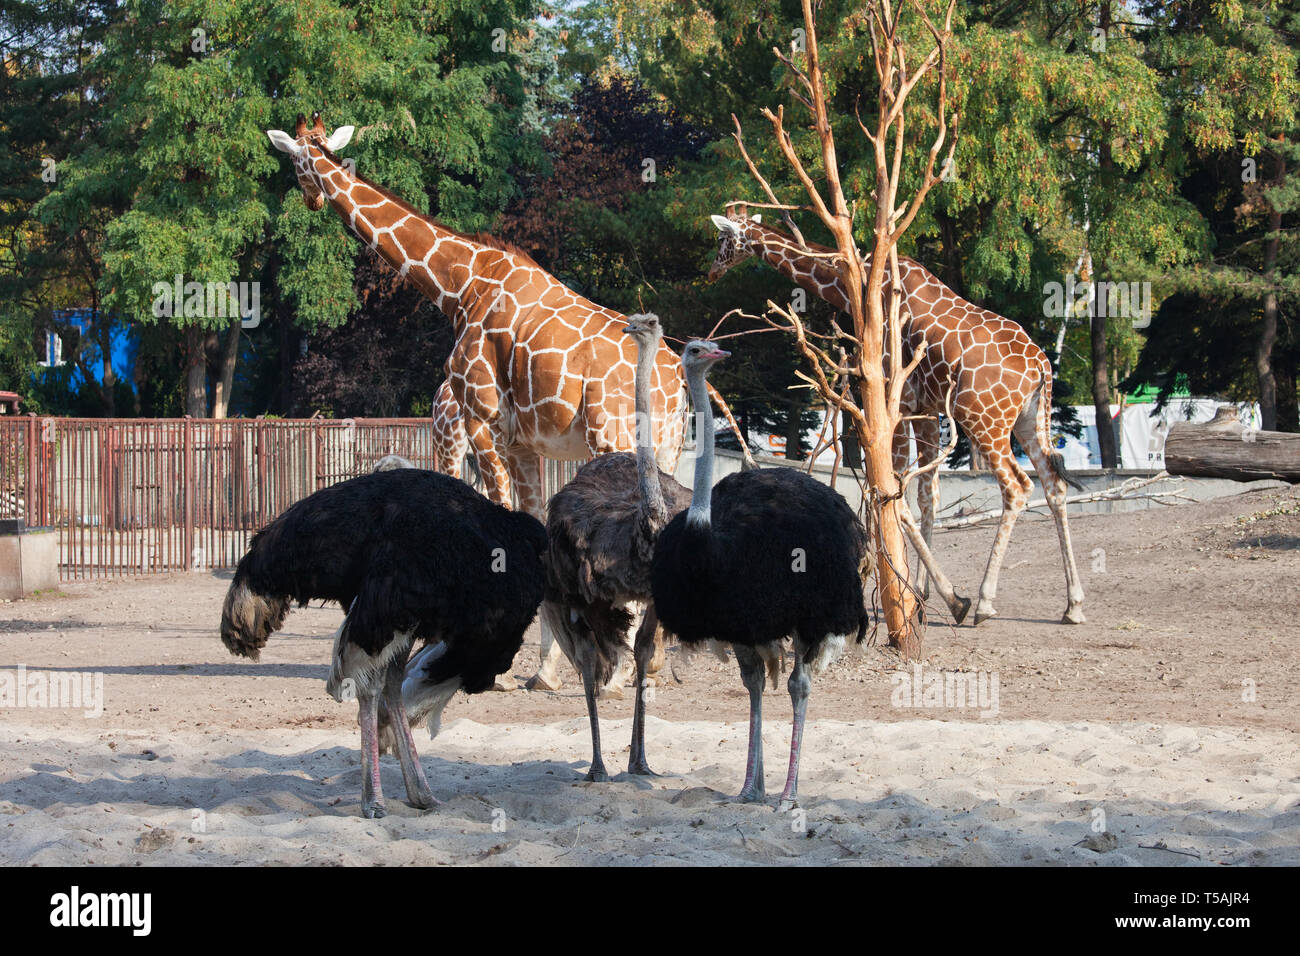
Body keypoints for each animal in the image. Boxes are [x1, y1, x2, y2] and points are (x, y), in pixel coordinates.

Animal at [267, 112, 693, 689]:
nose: (310, 200)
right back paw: (647, 665)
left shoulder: (482, 420)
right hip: (668, 446)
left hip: (613, 438)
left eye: (293, 163)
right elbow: (533, 529)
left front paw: (496, 663)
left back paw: (623, 671)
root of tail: (676, 380)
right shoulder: (523, 443)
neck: (459, 286)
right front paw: (545, 671)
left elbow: (502, 520)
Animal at [708, 209, 1086, 626]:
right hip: (1029, 420)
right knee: (1054, 483)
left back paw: (985, 603)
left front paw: (948, 599)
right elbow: (925, 495)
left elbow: (894, 492)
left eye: (722, 240)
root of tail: (1041, 367)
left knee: (1017, 487)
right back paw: (1073, 605)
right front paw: (921, 594)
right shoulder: (925, 409)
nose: (711, 271)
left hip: (985, 420)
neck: (852, 286)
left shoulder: (898, 402)